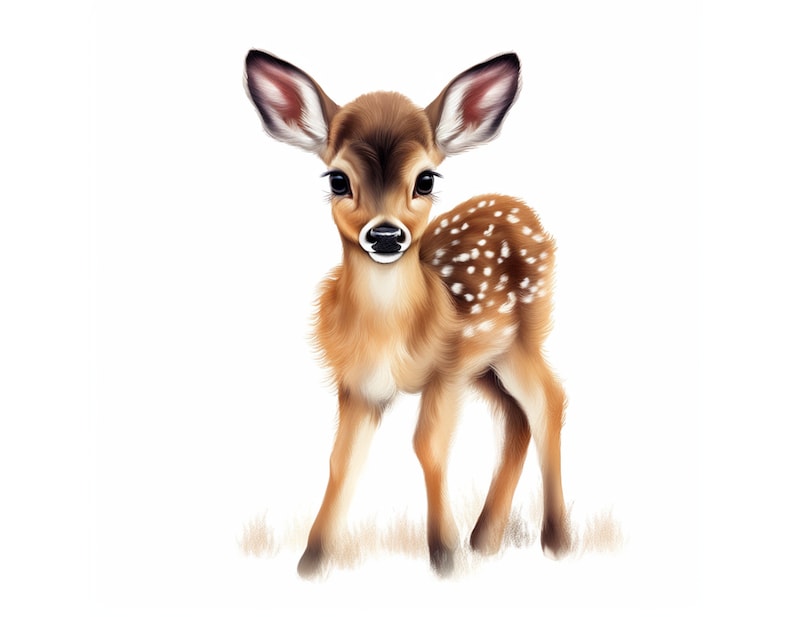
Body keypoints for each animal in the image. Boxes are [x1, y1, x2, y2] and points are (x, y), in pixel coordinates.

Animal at [244, 49, 571, 578]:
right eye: (337, 178)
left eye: (426, 178)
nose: (385, 235)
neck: (390, 337)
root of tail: (527, 212)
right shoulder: (356, 383)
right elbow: (342, 460)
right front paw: (311, 562)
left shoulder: (447, 368)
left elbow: (428, 447)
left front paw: (443, 555)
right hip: (486, 362)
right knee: (516, 417)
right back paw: (485, 539)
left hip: (520, 336)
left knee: (547, 400)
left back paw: (555, 539)